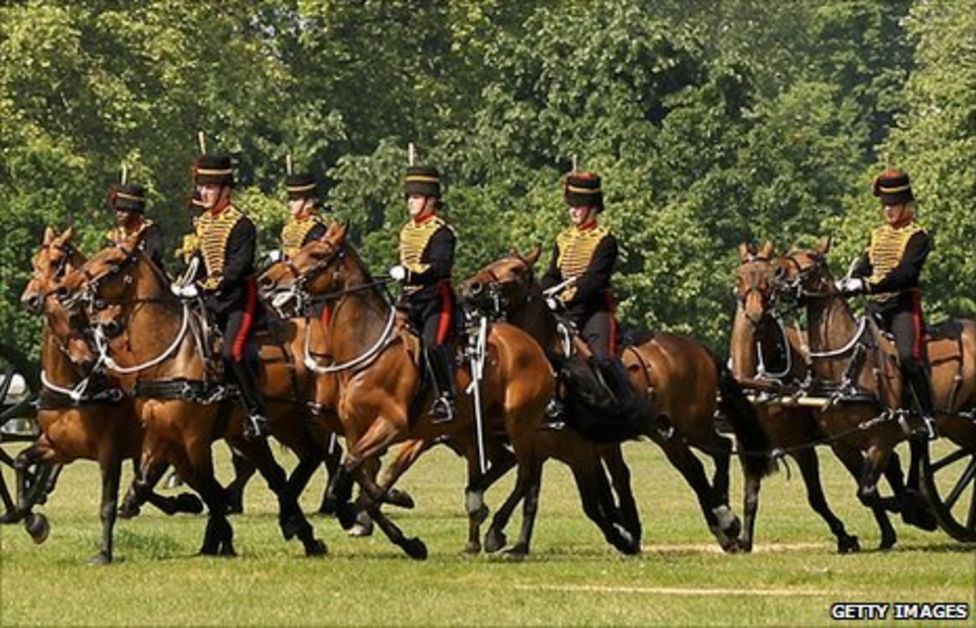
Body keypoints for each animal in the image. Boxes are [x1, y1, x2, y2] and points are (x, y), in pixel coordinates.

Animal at [15, 227, 203, 564]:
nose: (31, 298)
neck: (75, 387)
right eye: (35, 261)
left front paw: (104, 552)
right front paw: (34, 522)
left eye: (56, 263)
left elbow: (106, 505)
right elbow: (22, 463)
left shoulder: (109, 451)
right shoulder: (56, 446)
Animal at [55, 235, 329, 558]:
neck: (169, 355)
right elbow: (155, 480)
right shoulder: (163, 434)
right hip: (265, 428)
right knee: (288, 467)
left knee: (315, 457)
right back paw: (303, 532)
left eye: (111, 261)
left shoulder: (194, 438)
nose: (64, 289)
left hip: (302, 419)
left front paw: (219, 536)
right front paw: (213, 534)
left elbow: (207, 485)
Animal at [258, 222, 639, 558]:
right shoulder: (359, 432)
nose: (267, 280)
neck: (366, 349)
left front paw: (363, 508)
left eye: (318, 253)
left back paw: (502, 532)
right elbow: (363, 478)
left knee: (532, 474)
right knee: (515, 469)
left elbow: (356, 474)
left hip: (522, 425)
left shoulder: (392, 426)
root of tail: (536, 348)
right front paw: (404, 531)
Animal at [459, 247, 775, 552]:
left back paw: (726, 518)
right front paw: (514, 542)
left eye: (515, 269)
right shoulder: (548, 446)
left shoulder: (583, 448)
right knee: (693, 468)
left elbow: (595, 497)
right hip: (665, 433)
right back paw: (722, 528)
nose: (471, 287)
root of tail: (701, 349)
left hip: (692, 425)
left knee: (720, 449)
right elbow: (540, 493)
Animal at [772, 238, 976, 538]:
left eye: (811, 257)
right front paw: (916, 509)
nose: (774, 272)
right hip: (956, 424)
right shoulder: (842, 444)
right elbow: (866, 493)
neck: (848, 364)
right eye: (789, 252)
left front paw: (919, 511)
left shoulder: (881, 440)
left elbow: (867, 491)